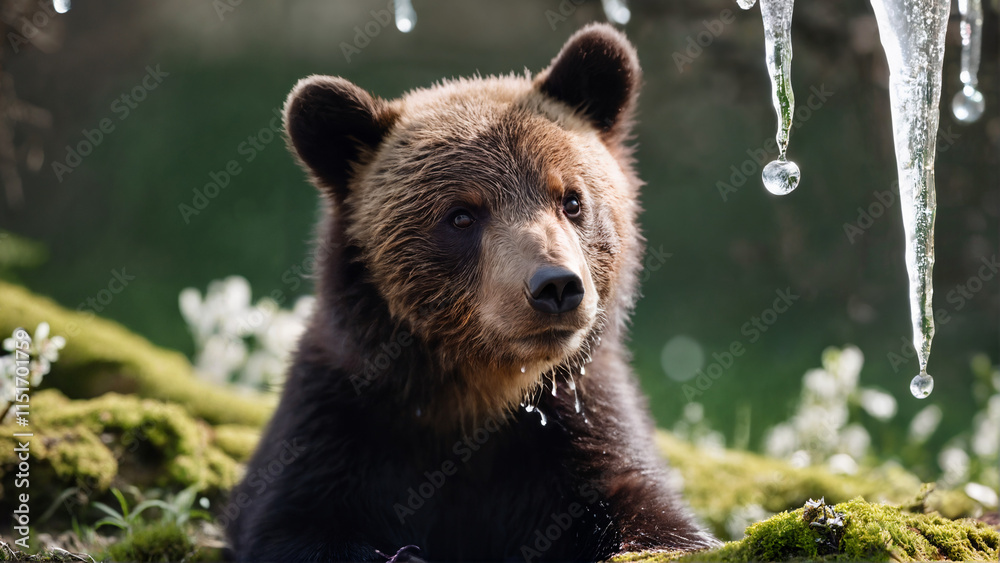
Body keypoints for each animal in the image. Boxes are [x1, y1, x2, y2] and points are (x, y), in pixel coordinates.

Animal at [227, 23, 718, 562]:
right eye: (461, 215)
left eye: (571, 200)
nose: (556, 285)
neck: (477, 392)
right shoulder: (337, 423)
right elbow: (295, 522)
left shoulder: (582, 426)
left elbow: (653, 517)